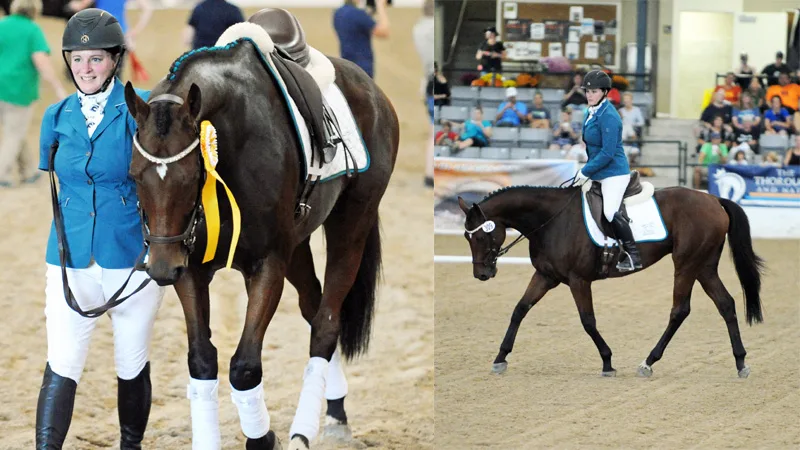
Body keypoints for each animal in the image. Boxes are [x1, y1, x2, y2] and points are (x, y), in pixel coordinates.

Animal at [123, 23, 398, 450]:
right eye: (135, 174)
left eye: (192, 175)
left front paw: (264, 437)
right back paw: (334, 411)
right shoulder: (192, 268)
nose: (162, 269)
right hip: (297, 246)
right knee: (314, 309)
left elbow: (246, 366)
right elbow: (202, 359)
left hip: (352, 223)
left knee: (326, 324)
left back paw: (305, 430)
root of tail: (370, 88)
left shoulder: (267, 265)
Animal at [457, 182, 764, 379]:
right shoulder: (546, 276)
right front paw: (500, 359)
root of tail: (714, 200)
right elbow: (520, 310)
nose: (482, 274)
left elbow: (587, 321)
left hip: (687, 263)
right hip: (704, 265)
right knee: (726, 304)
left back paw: (648, 362)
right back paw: (741, 362)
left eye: (481, 236)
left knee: (680, 310)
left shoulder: (578, 280)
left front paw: (607, 362)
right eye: (466, 237)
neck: (551, 220)